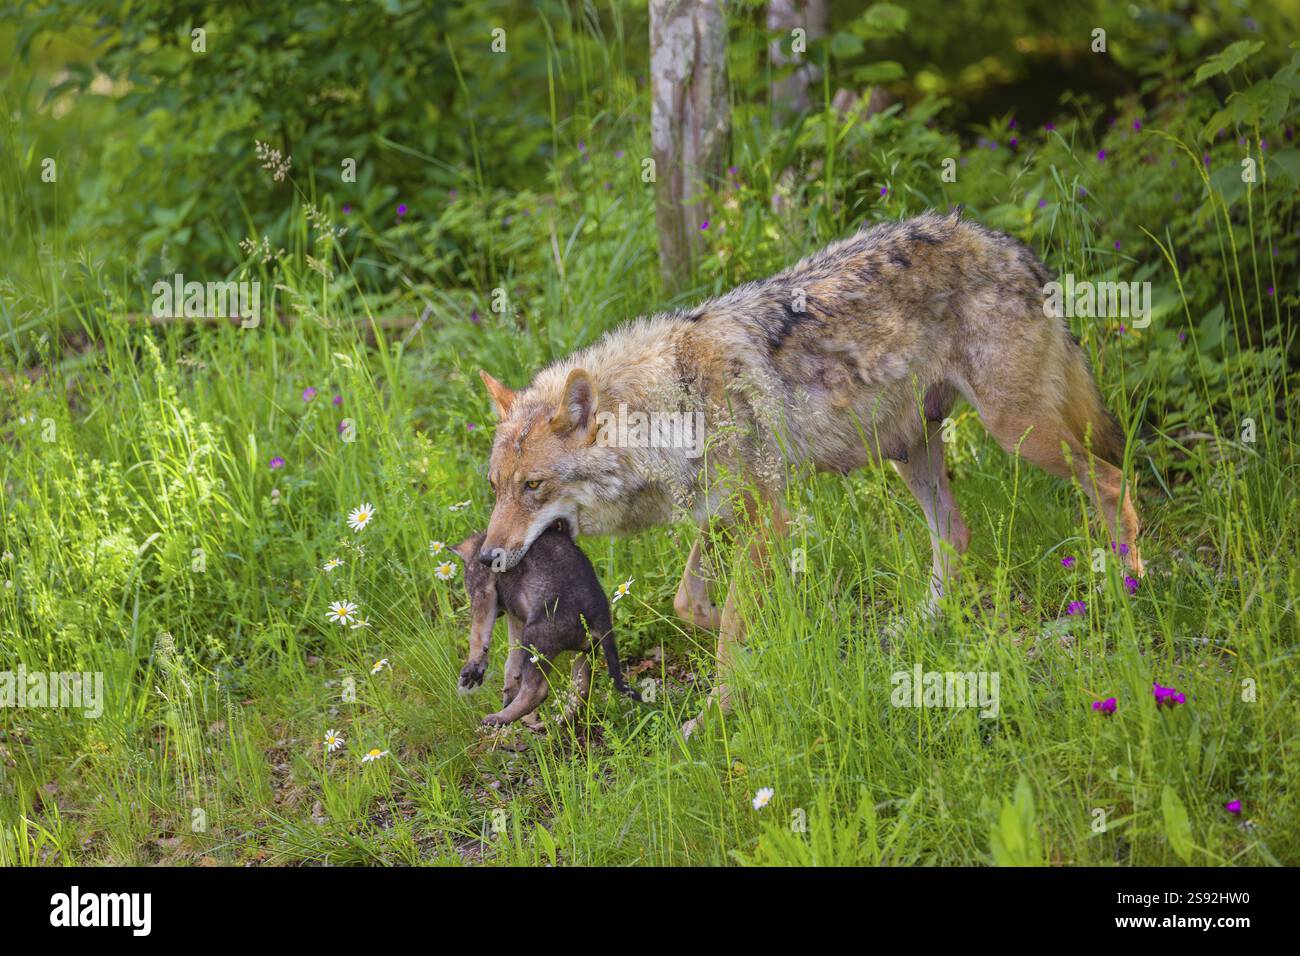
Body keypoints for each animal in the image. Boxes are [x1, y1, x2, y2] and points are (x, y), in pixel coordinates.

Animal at [451, 528, 638, 726]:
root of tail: (599, 614)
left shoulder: (484, 592)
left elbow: (478, 634)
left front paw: (472, 666)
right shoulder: (516, 617)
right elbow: (512, 658)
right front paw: (508, 685)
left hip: (536, 636)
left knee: (538, 690)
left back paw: (500, 718)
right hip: (583, 652)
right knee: (581, 691)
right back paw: (553, 722)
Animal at [474, 210, 1143, 733]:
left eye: (533, 487)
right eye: (495, 488)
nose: (487, 558)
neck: (668, 406)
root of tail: (1003, 242)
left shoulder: (766, 518)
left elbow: (728, 631)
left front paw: (719, 708)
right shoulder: (726, 515)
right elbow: (692, 602)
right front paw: (792, 629)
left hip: (1018, 434)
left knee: (1114, 480)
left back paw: (1130, 584)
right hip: (911, 453)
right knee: (956, 536)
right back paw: (912, 629)